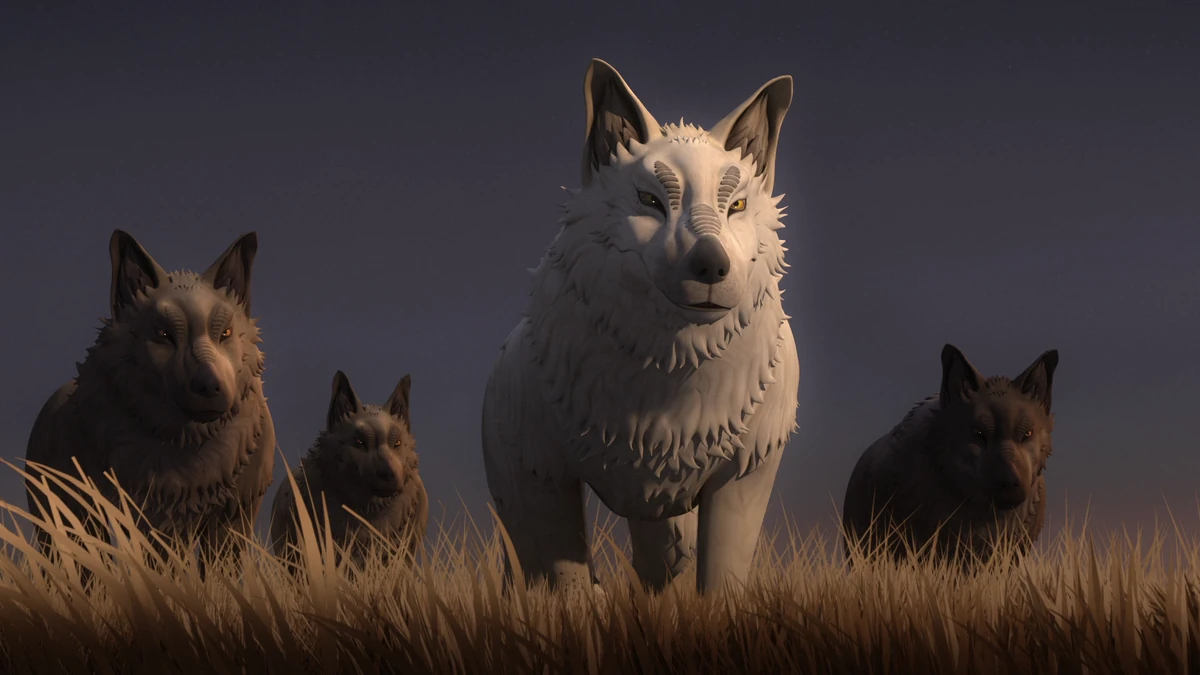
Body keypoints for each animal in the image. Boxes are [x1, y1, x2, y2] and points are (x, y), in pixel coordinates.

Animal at [24, 230, 276, 575]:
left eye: (225, 333)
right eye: (164, 334)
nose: (210, 386)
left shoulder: (234, 515)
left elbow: (218, 570)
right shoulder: (140, 516)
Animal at [481, 58, 801, 595]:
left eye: (735, 205)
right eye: (650, 201)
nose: (712, 266)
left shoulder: (744, 478)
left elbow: (721, 581)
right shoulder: (541, 477)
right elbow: (566, 586)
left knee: (664, 561)